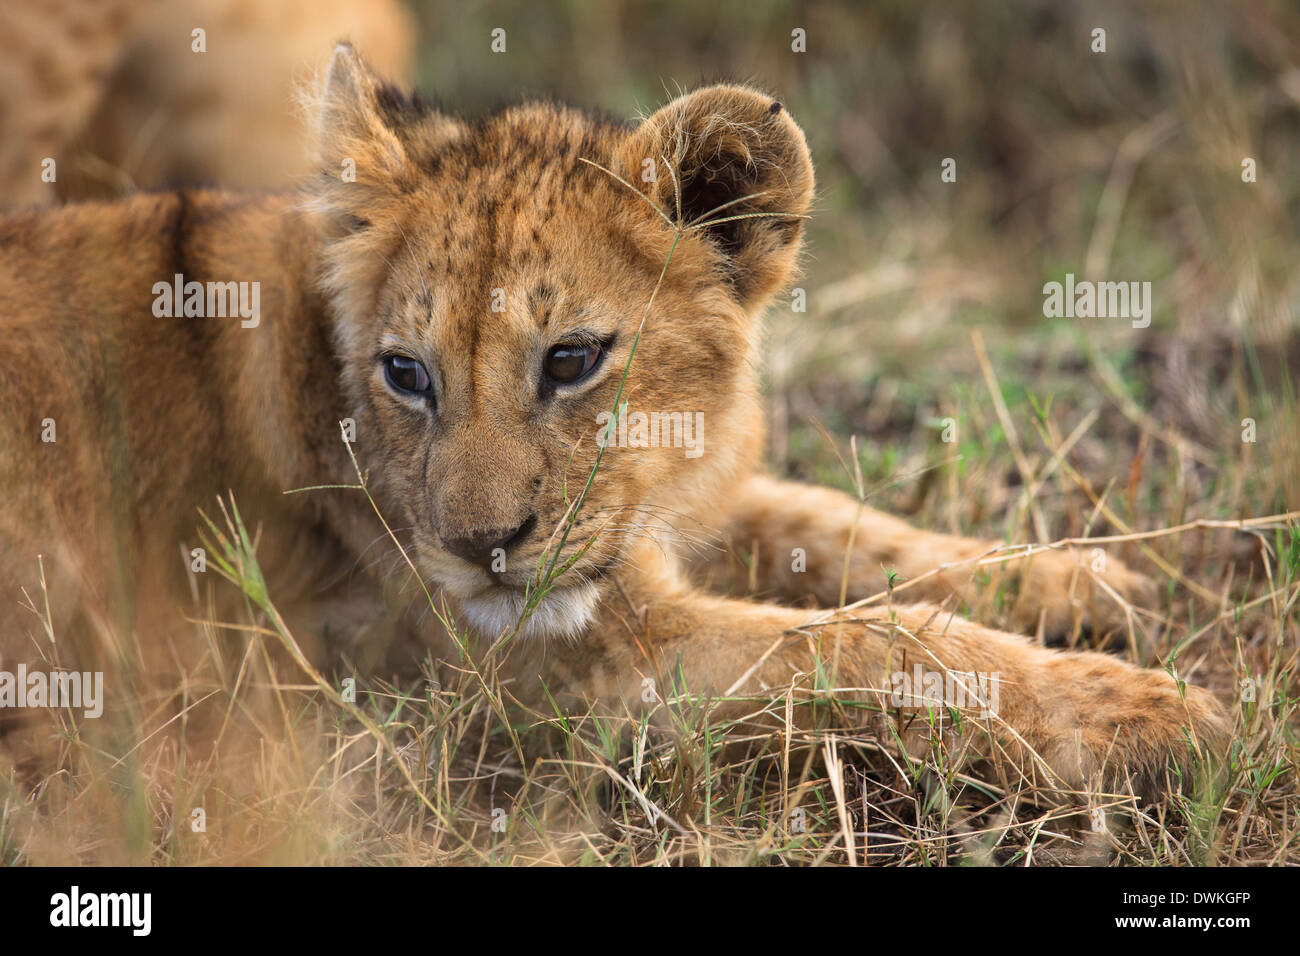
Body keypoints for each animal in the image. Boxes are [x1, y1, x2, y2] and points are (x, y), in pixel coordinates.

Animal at [0, 44, 1228, 802]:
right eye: (407, 373)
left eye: (572, 359)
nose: (479, 550)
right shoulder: (570, 669)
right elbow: (873, 640)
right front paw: (1149, 711)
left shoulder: (663, 516)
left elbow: (838, 524)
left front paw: (1087, 579)